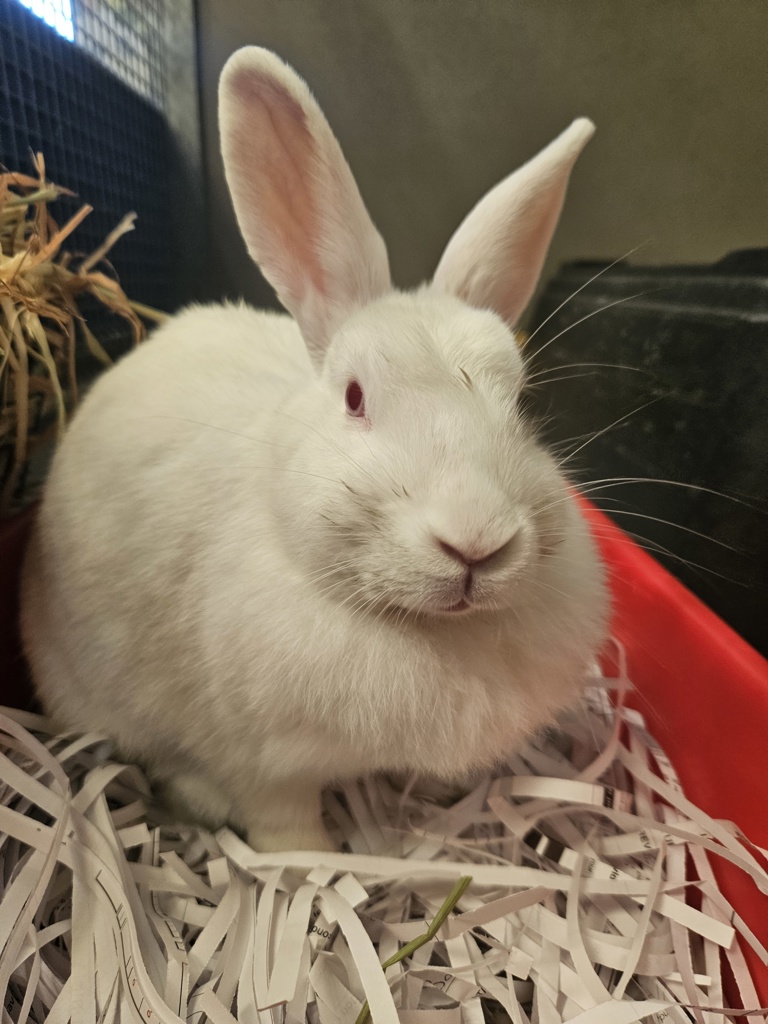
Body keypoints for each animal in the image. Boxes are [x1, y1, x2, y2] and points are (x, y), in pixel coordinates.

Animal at [20, 46, 608, 853]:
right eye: (355, 397)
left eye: (520, 403)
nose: (476, 544)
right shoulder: (267, 763)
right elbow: (286, 827)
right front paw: (317, 864)